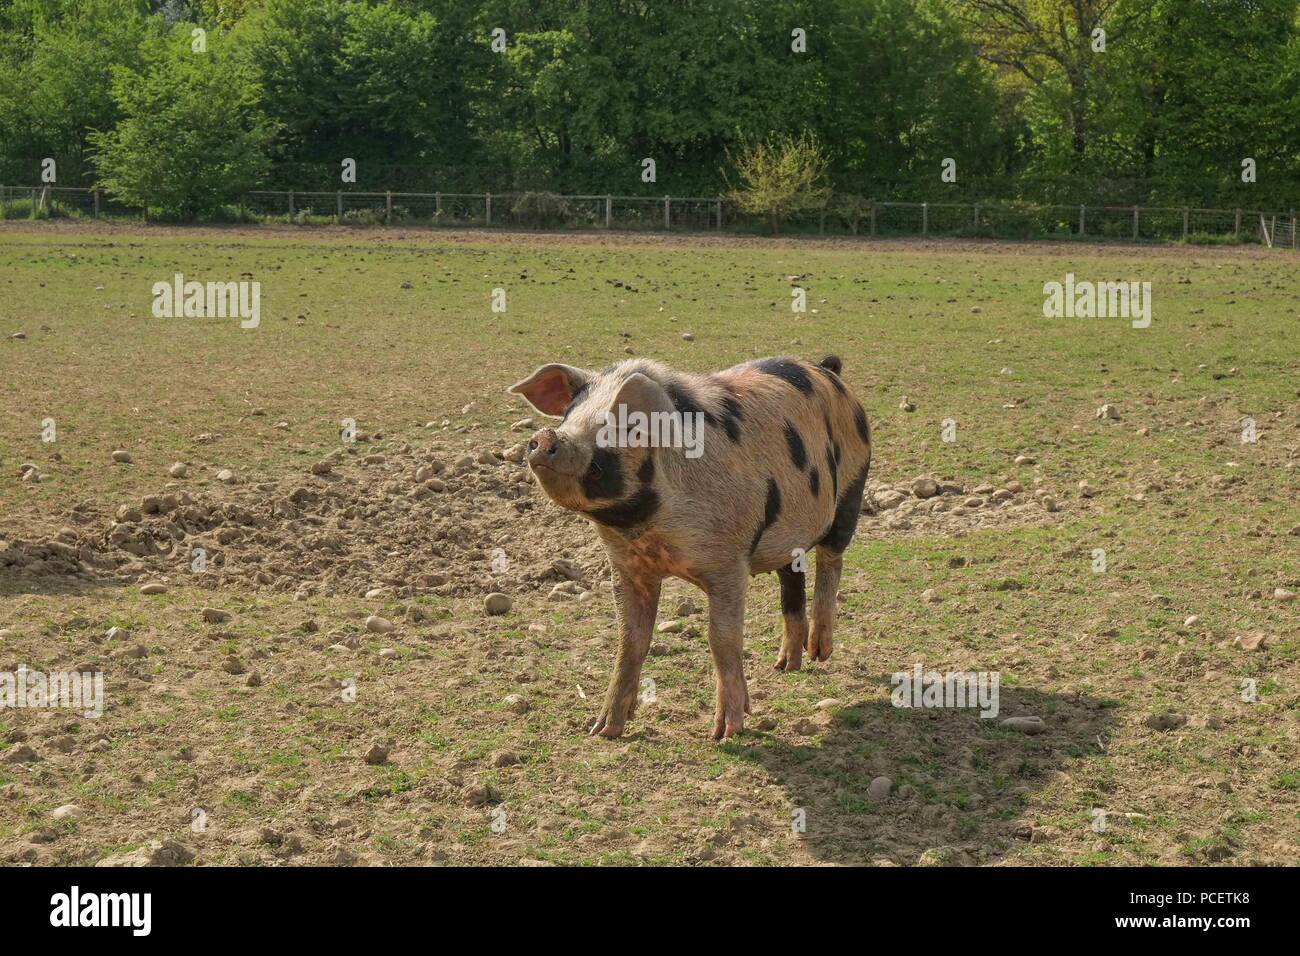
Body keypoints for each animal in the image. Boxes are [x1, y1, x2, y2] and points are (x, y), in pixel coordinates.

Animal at [508, 355, 871, 739]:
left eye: (624, 424)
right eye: (569, 414)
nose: (546, 436)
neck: (646, 525)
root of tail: (828, 370)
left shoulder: (730, 564)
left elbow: (722, 639)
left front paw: (726, 732)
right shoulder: (627, 567)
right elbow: (630, 640)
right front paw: (603, 730)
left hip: (851, 489)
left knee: (832, 560)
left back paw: (820, 652)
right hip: (788, 532)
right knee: (791, 580)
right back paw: (785, 666)